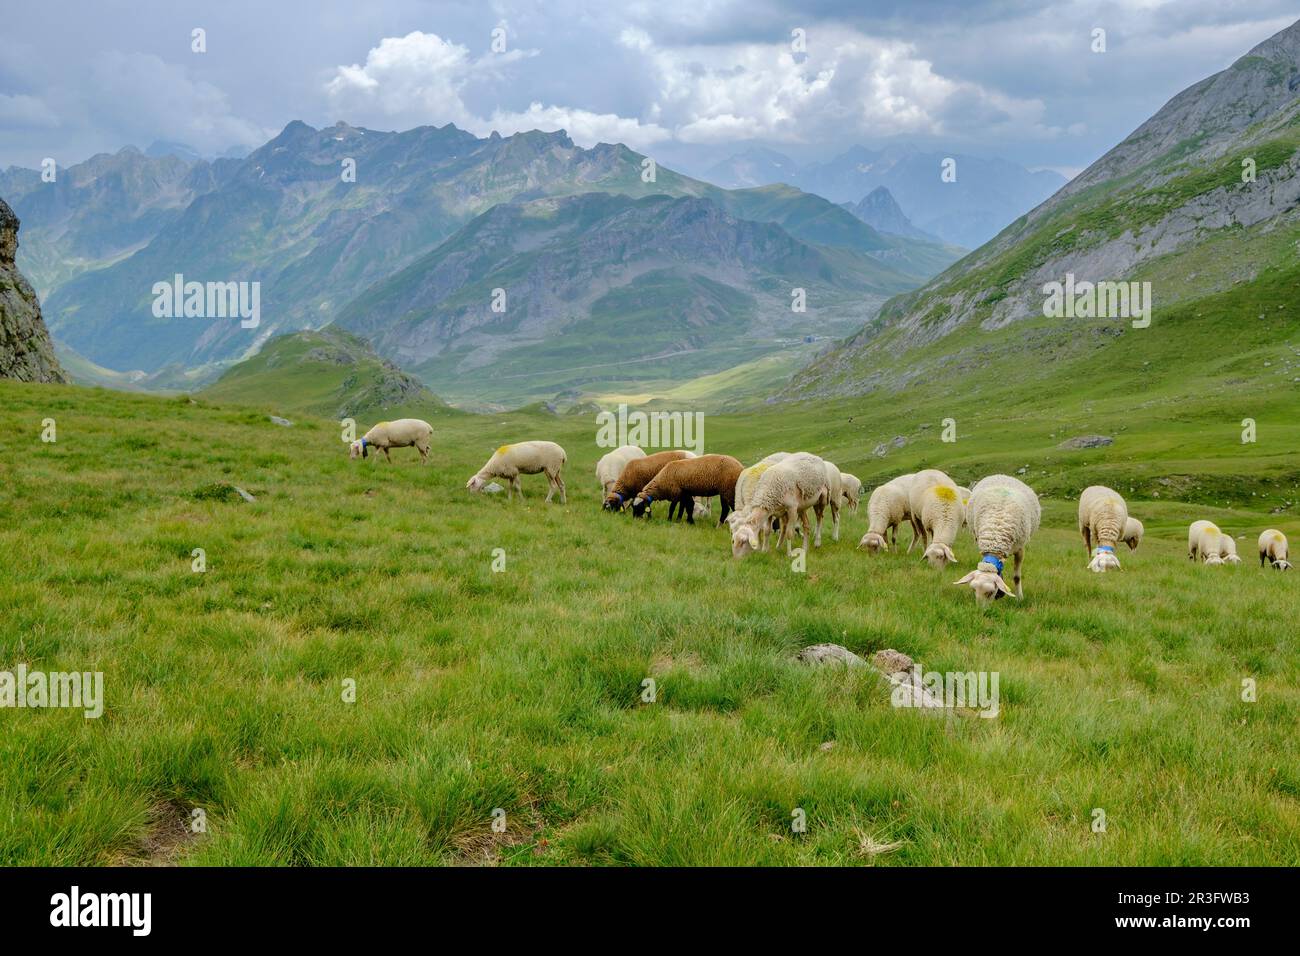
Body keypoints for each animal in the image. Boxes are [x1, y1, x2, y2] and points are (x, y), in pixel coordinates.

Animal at [953, 474, 1041, 605]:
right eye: (974, 590)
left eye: (990, 592)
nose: (979, 609)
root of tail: (1003, 475)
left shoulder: (1020, 549)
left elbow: (1017, 577)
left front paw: (1019, 598)